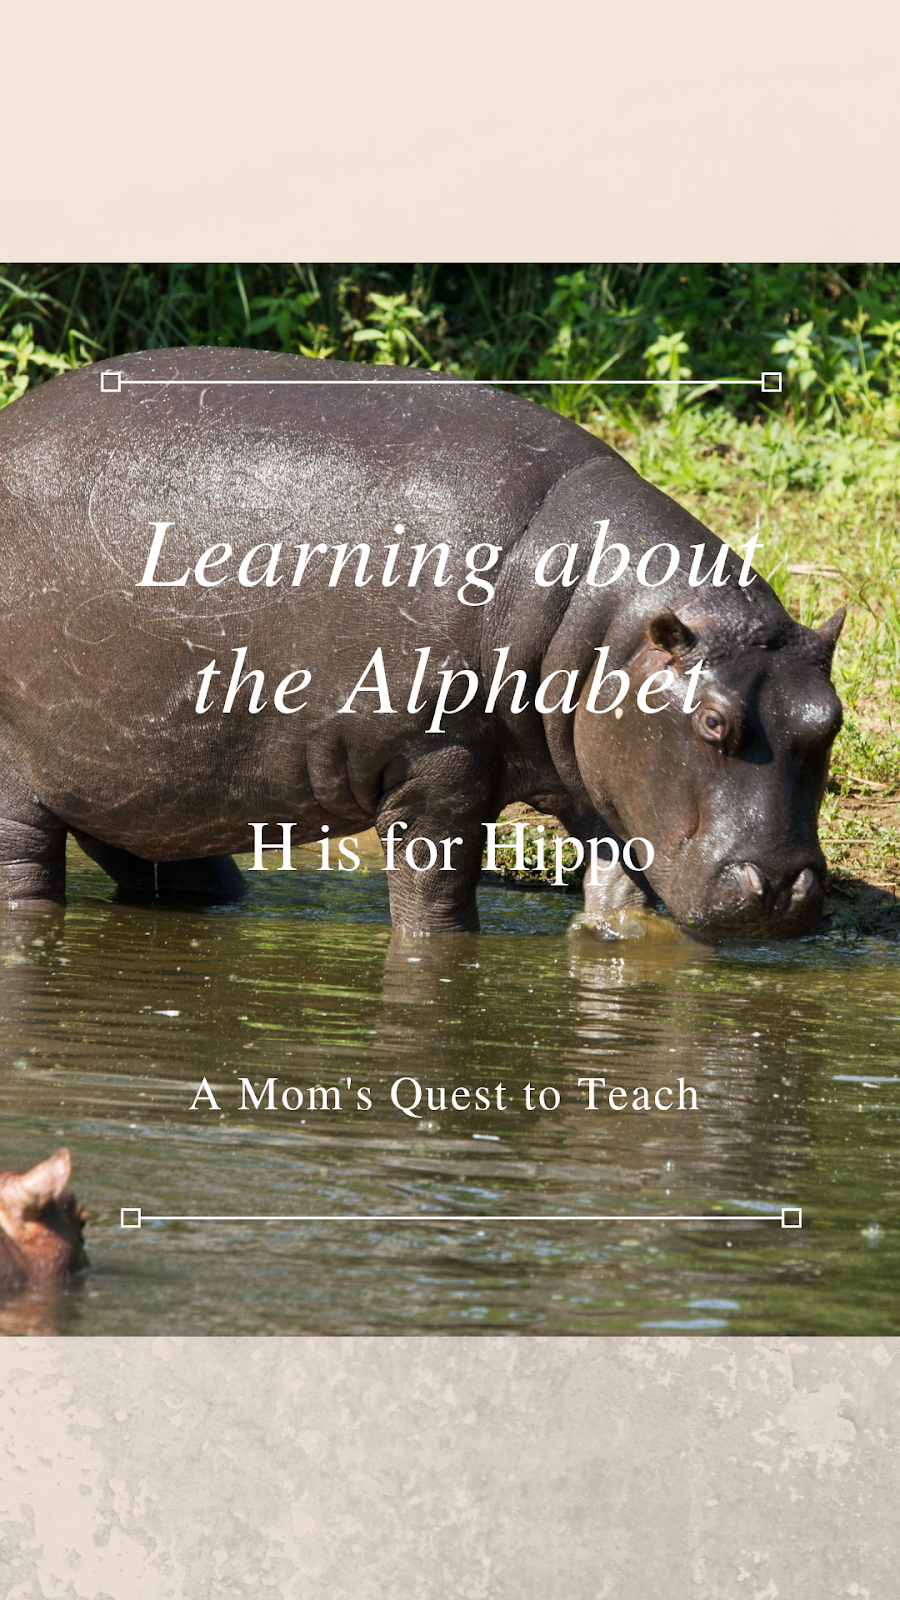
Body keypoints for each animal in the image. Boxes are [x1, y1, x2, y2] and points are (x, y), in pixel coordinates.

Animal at [0, 348, 843, 938]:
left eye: (829, 721)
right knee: (23, 868)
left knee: (160, 859)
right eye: (712, 721)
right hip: (20, 781)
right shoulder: (434, 757)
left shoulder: (600, 777)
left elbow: (619, 896)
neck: (607, 623)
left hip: (131, 780)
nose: (783, 887)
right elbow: (437, 900)